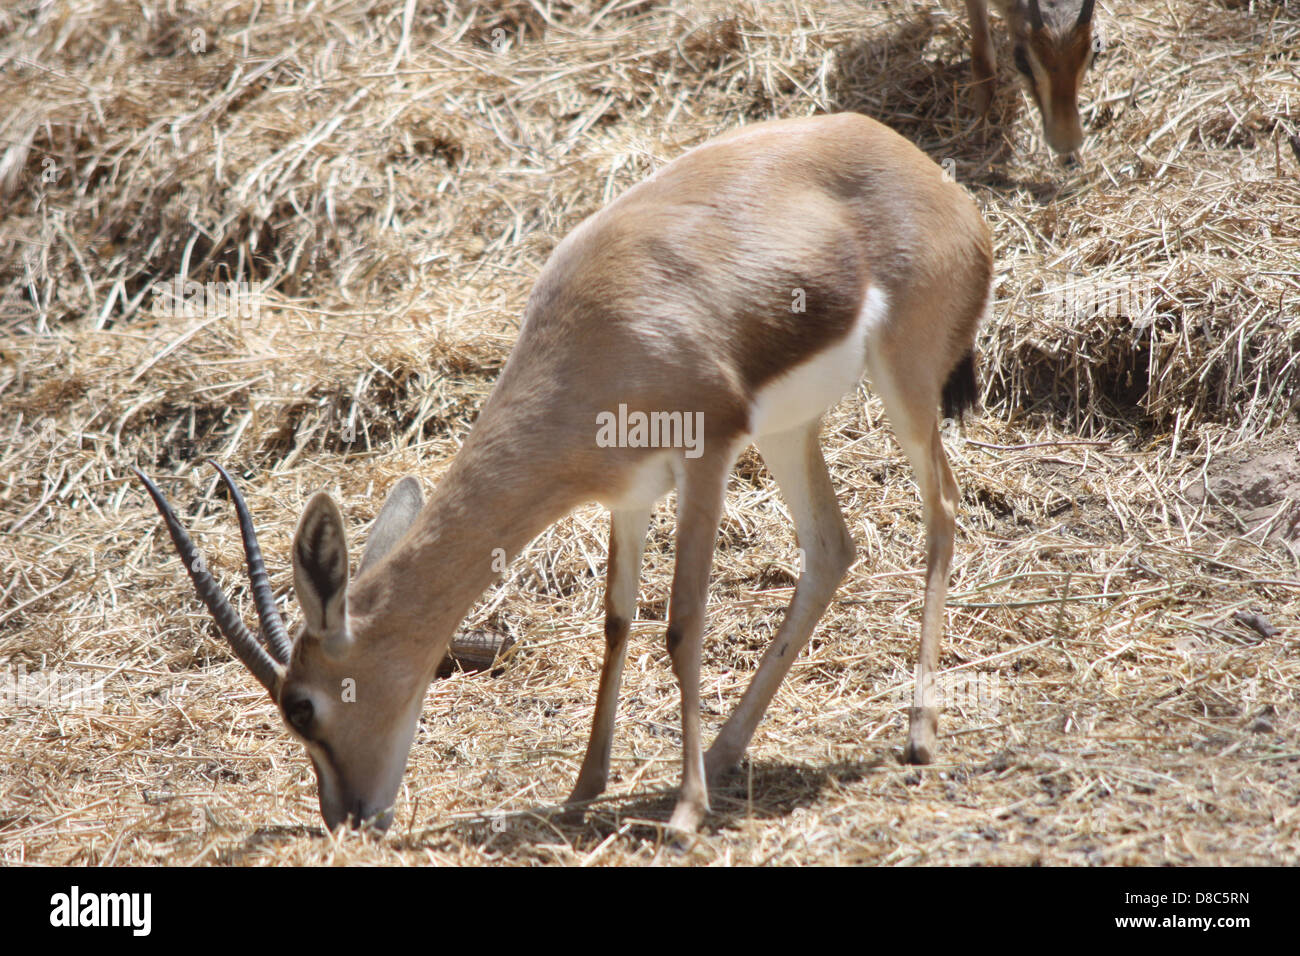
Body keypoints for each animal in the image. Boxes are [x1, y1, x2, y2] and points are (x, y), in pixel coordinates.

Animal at [136, 112, 992, 836]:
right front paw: (585, 787)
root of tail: (938, 180)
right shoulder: (630, 494)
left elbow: (684, 622)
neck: (600, 335)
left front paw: (684, 814)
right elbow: (616, 622)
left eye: (303, 708)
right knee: (831, 550)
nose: (346, 817)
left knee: (944, 509)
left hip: (904, 384)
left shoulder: (705, 455)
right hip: (788, 431)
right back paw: (726, 752)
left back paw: (917, 736)